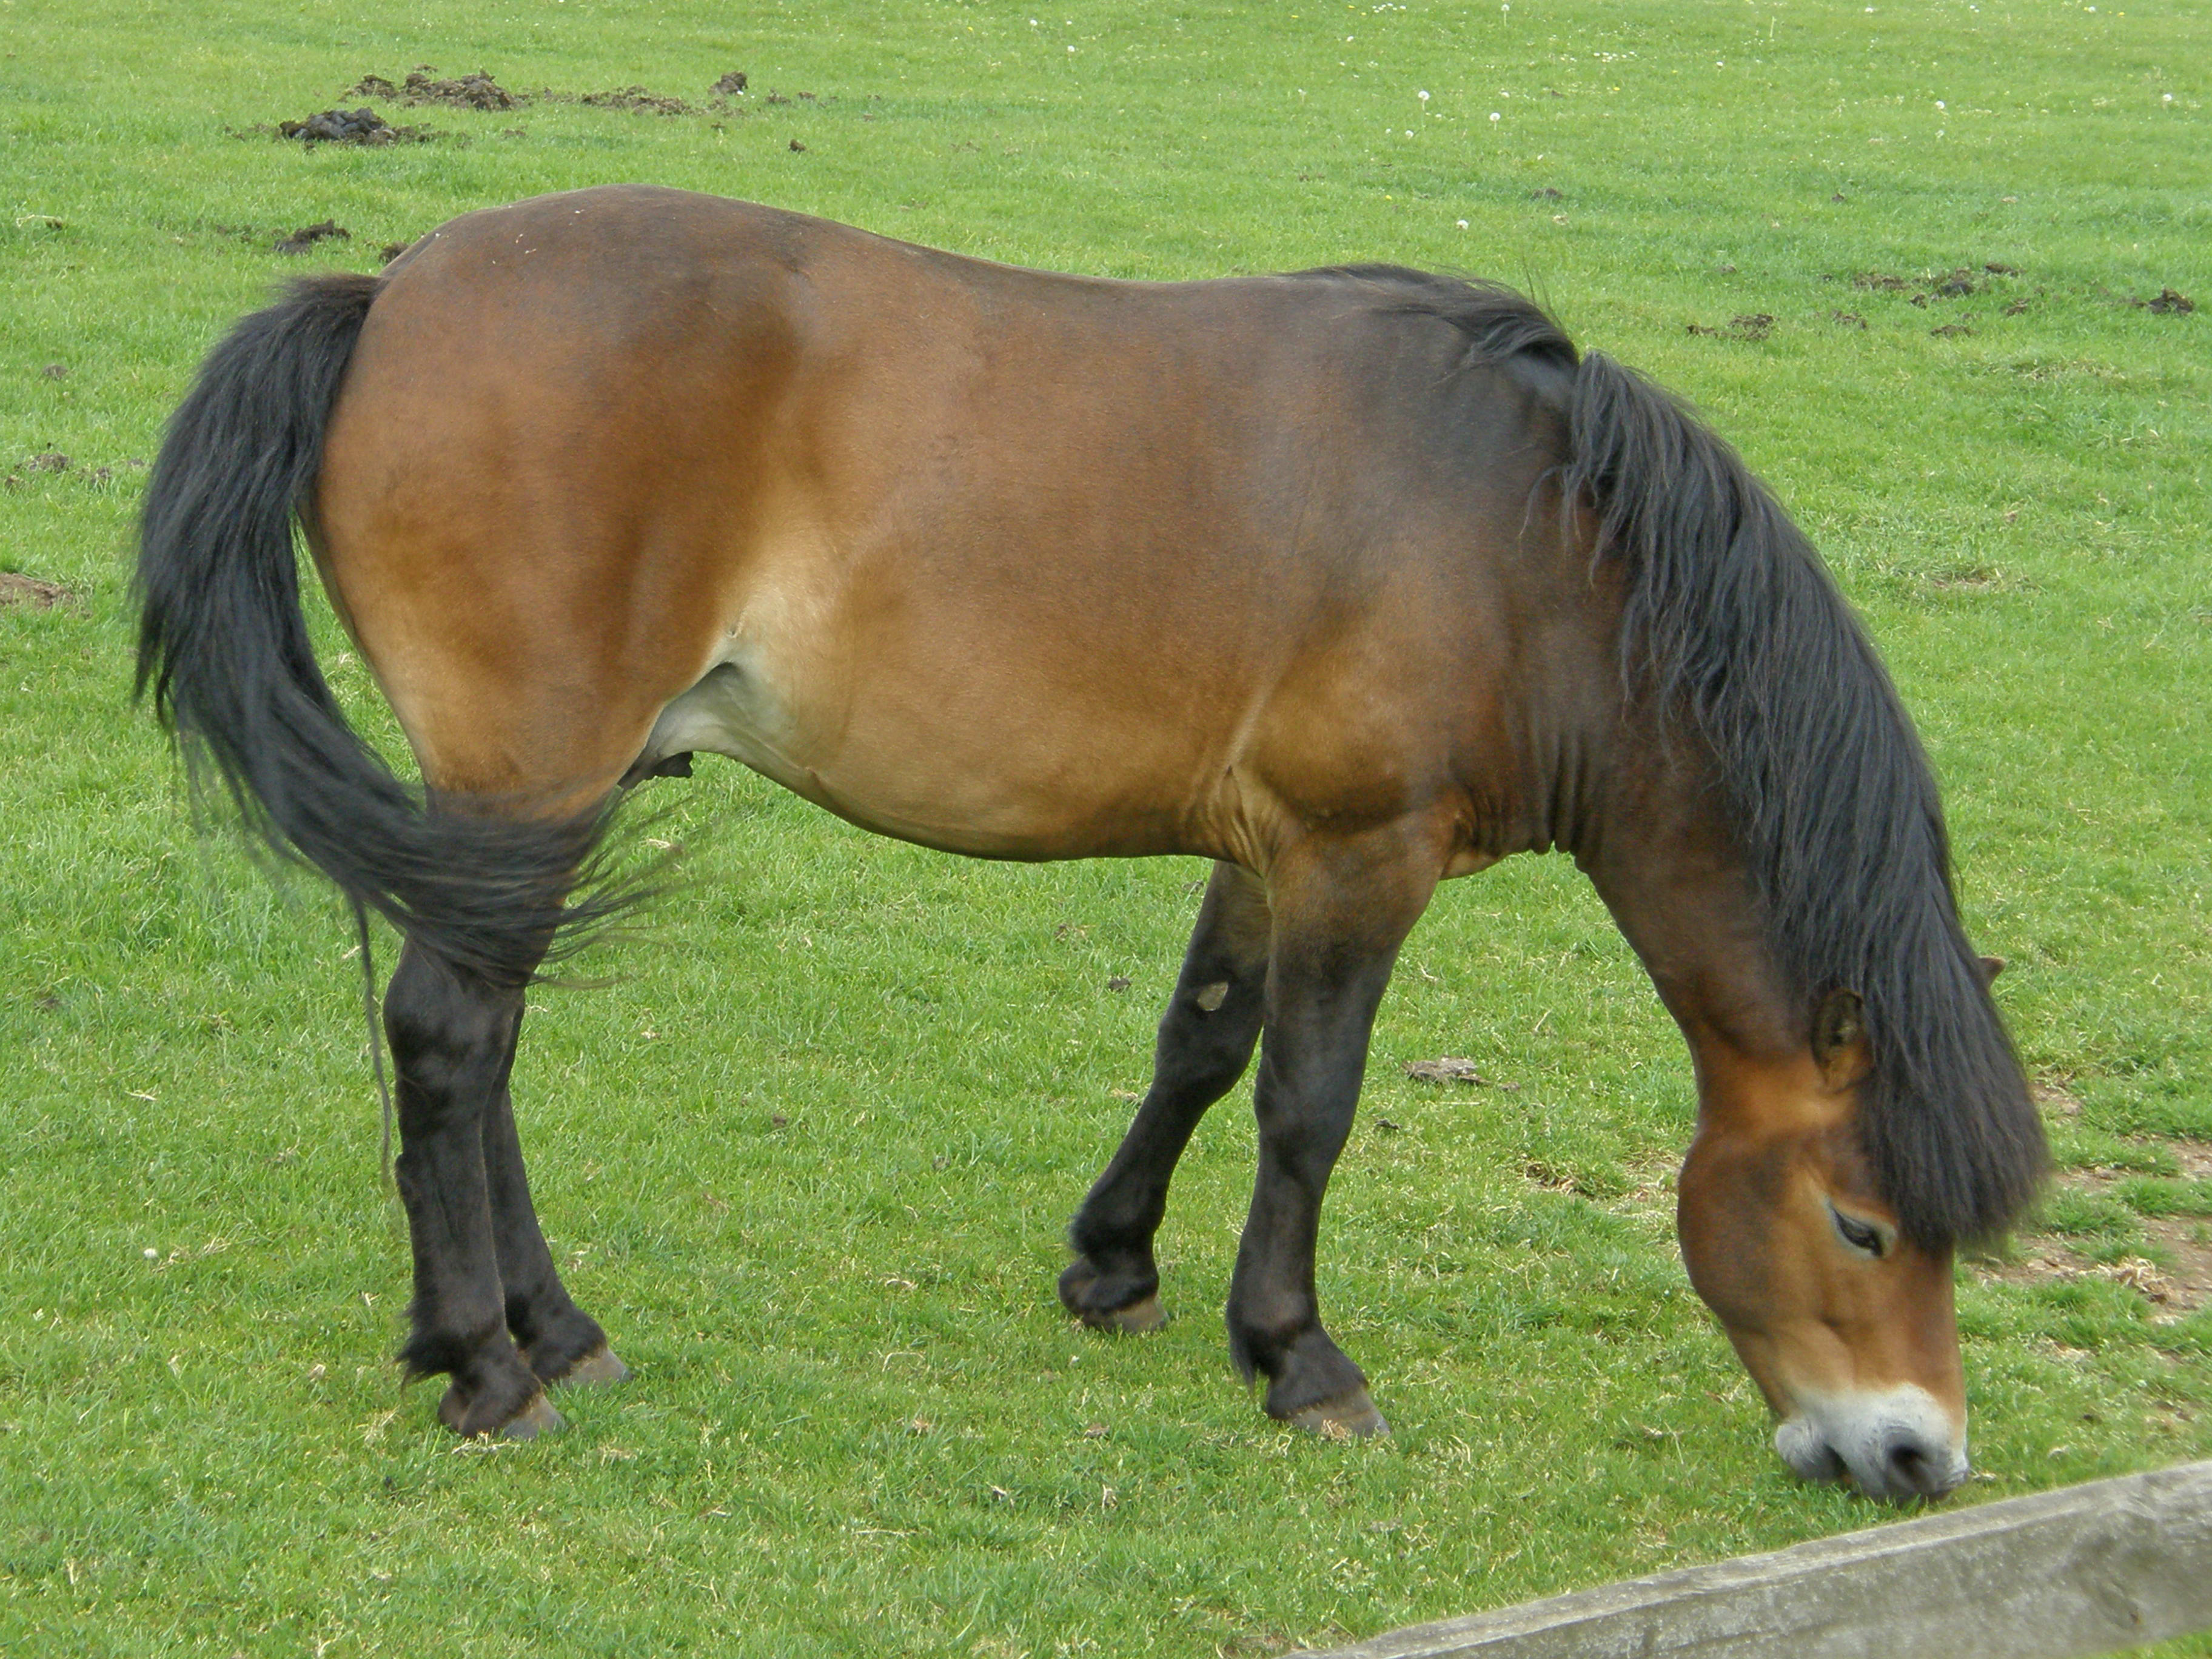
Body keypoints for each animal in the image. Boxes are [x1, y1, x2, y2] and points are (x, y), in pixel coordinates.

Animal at [135, 185, 2046, 1501]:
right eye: (1866, 1223)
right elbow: (1308, 1100)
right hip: (534, 788)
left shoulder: (1267, 848)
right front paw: (1299, 1356)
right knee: (452, 1041)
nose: (1917, 1459)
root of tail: (384, 297)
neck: (1533, 545)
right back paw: (485, 1363)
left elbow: (1200, 1042)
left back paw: (552, 1331)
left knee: (482, 1049)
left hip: (525, 815)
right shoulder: (1362, 853)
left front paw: (1117, 1265)